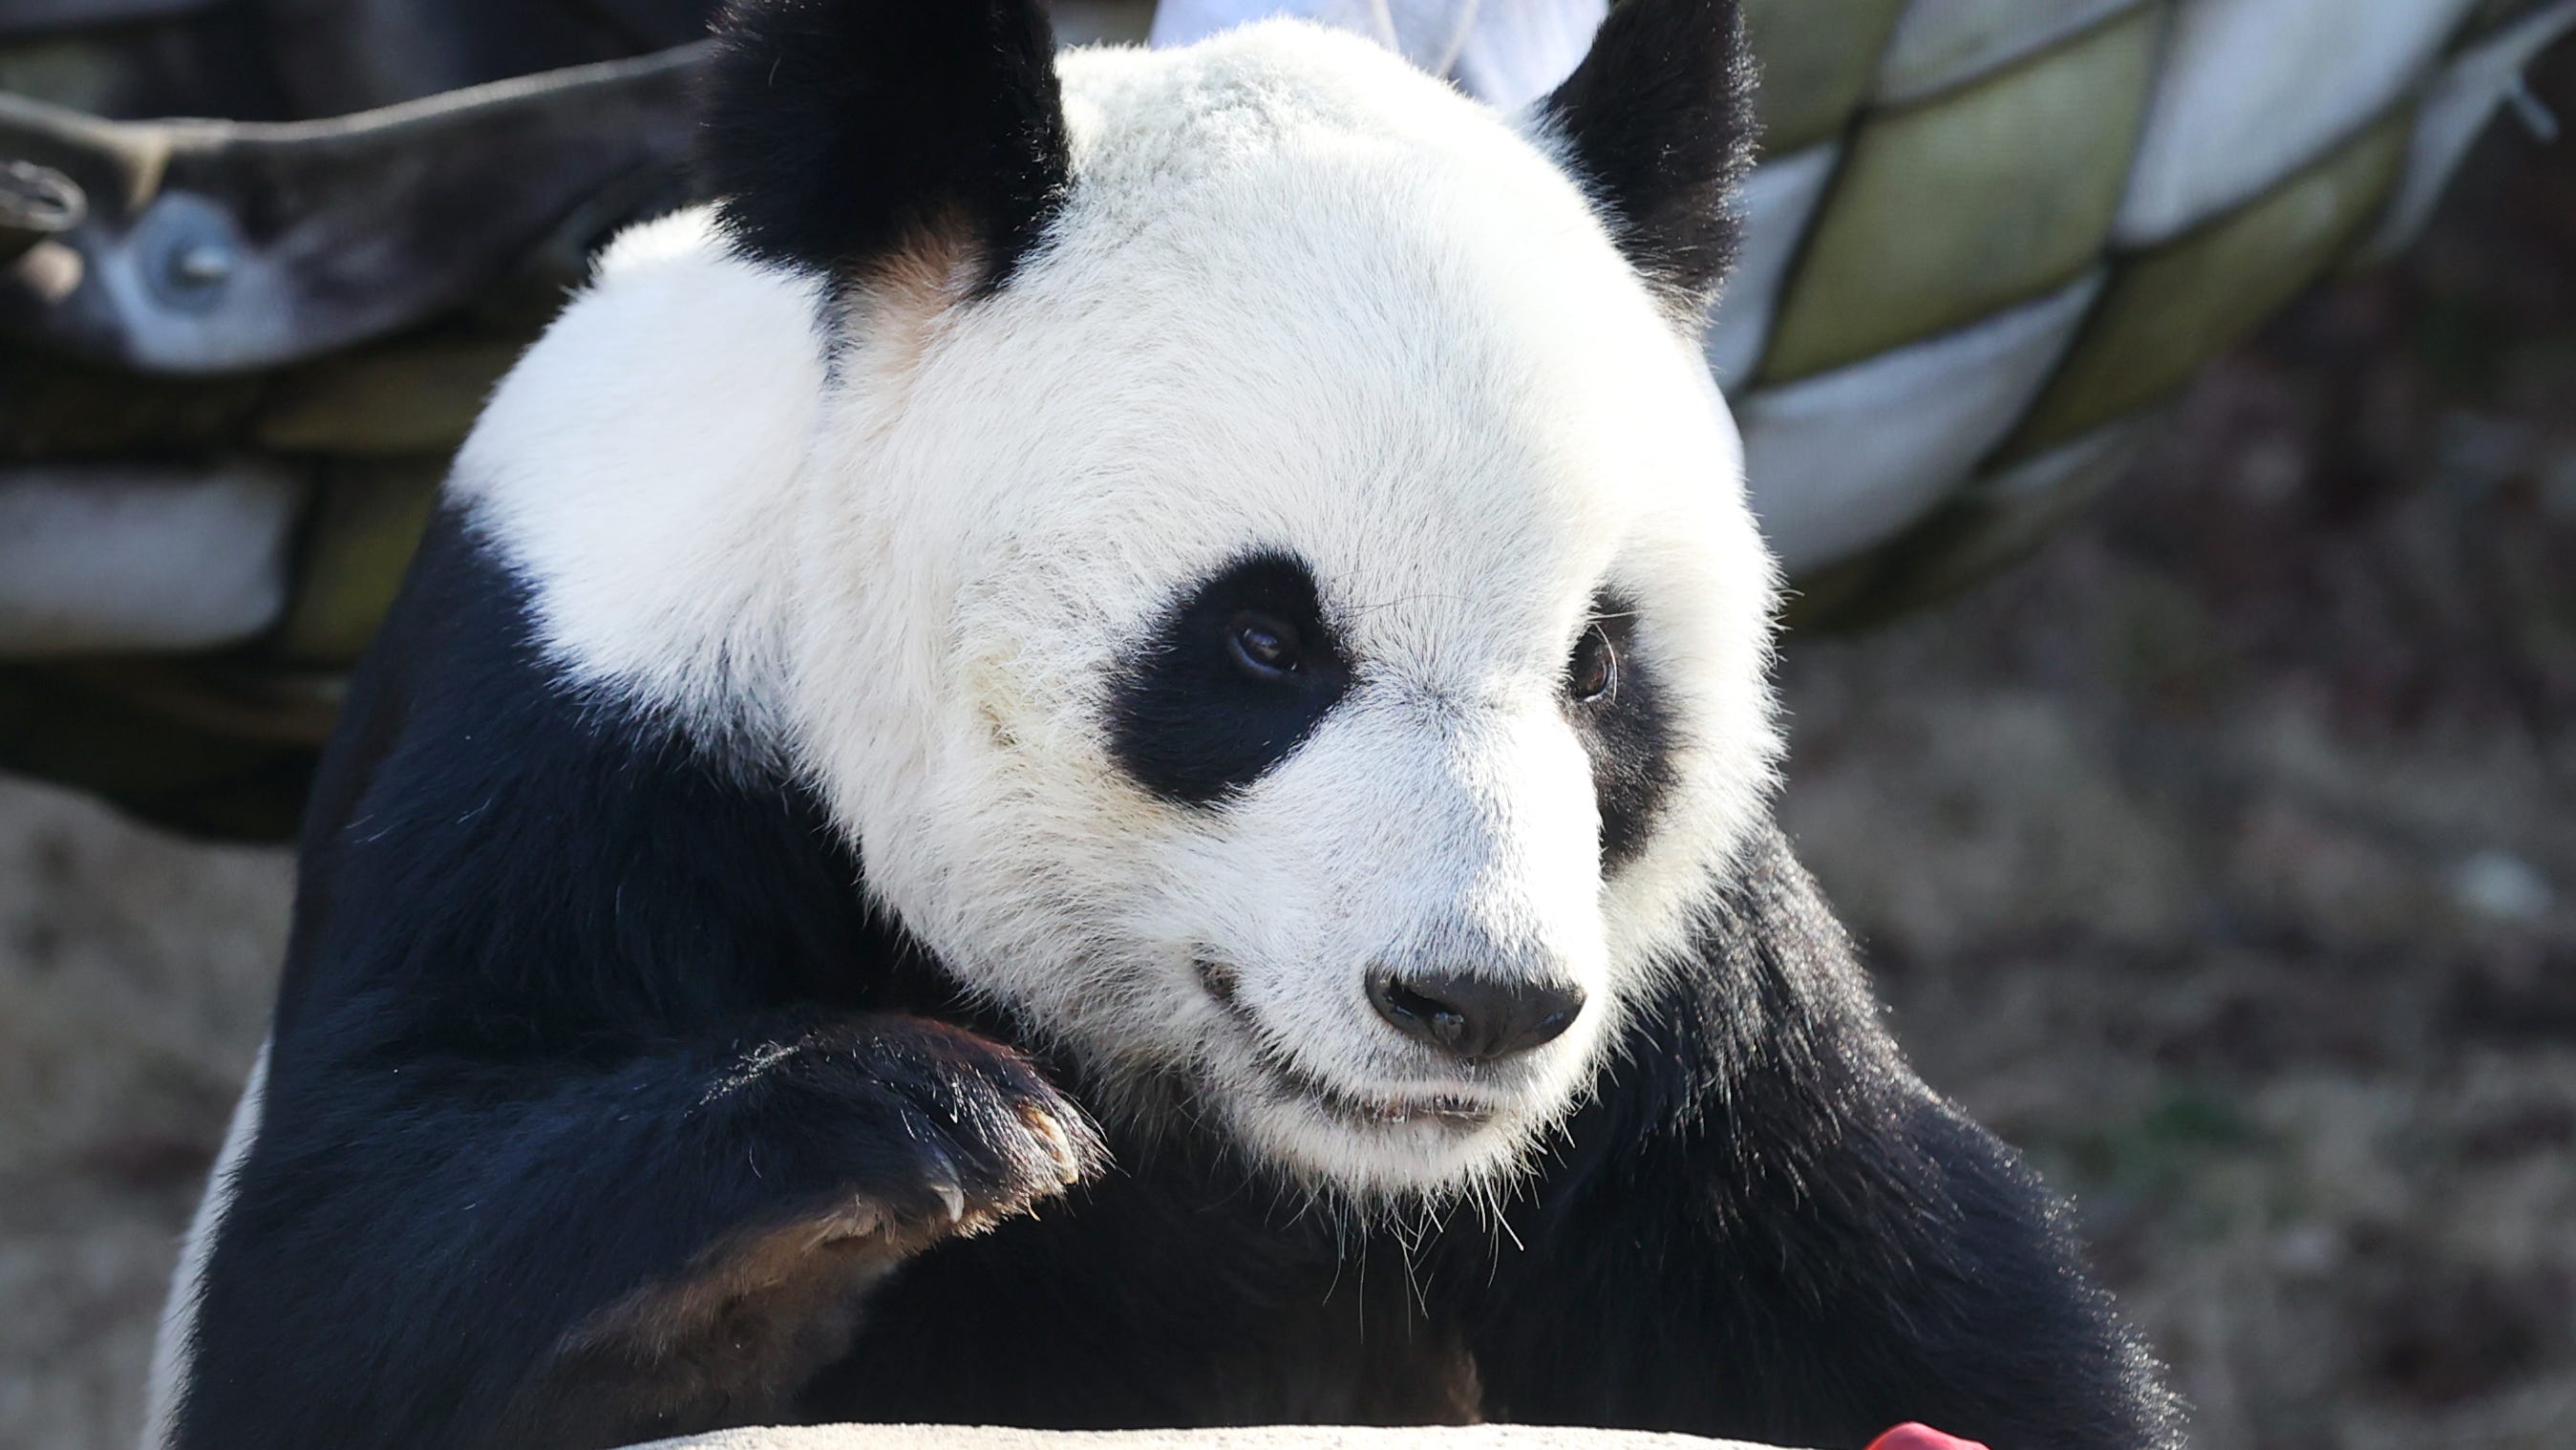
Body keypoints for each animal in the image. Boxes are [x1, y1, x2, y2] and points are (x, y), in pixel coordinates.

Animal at [146, 1, 2187, 1448]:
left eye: (1598, 666)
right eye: (1263, 641)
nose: (1474, 1003)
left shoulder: (1668, 987)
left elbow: (1891, 1285)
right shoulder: (582, 741)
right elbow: (329, 1279)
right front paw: (880, 1143)